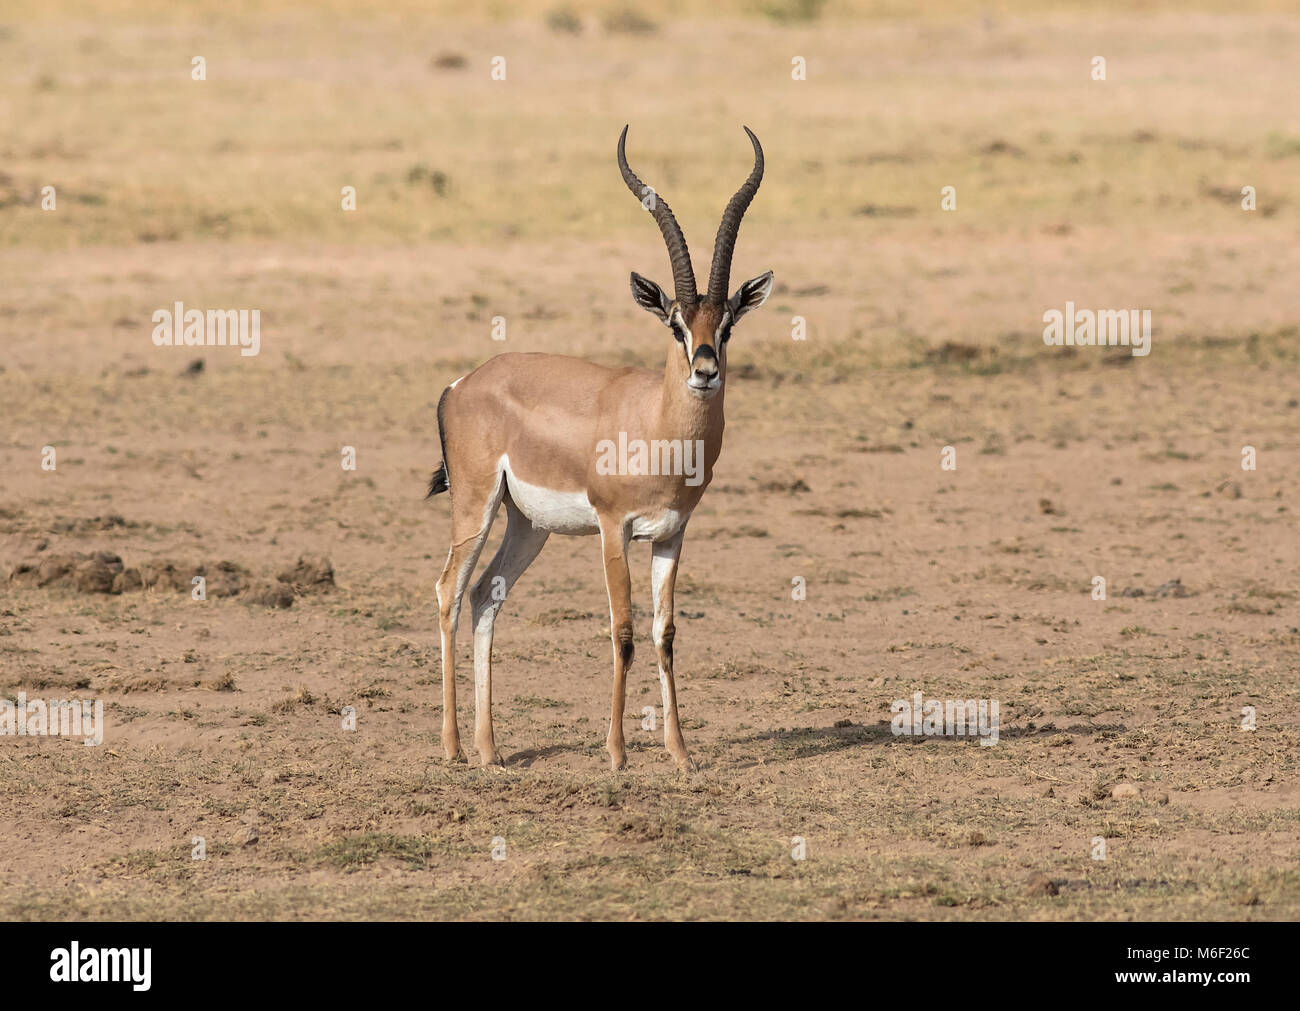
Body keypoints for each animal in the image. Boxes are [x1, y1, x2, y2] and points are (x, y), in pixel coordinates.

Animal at [427, 125, 773, 772]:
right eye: (674, 322)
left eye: (728, 323)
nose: (705, 371)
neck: (658, 428)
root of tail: (462, 383)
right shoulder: (614, 530)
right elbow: (624, 632)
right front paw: (616, 754)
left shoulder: (671, 534)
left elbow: (665, 634)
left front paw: (680, 754)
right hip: (475, 507)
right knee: (449, 592)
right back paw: (454, 746)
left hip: (527, 525)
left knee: (486, 596)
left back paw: (490, 749)